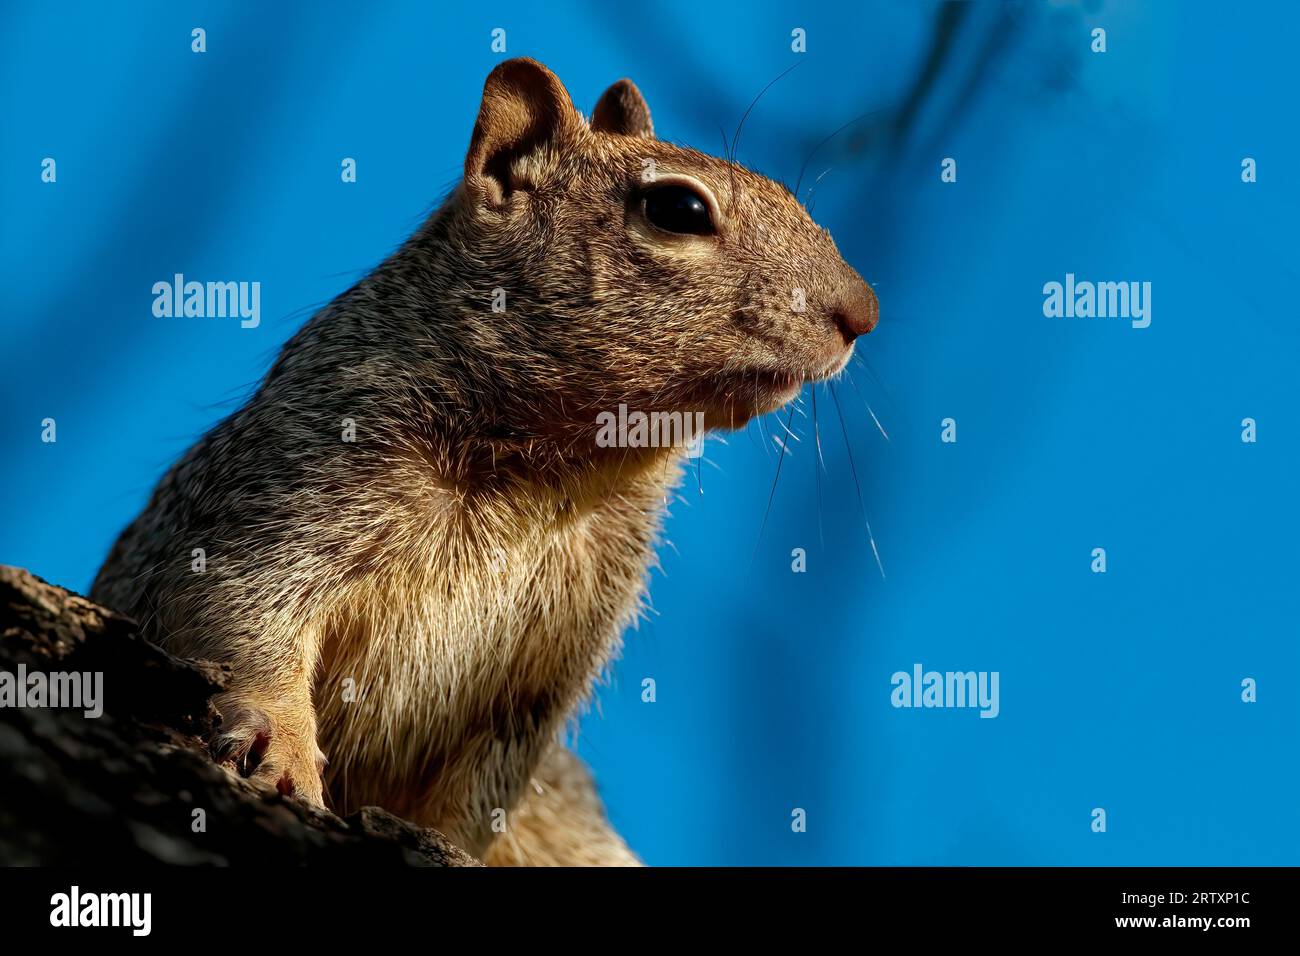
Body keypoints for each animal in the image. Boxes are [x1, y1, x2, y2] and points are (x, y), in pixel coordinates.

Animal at [91, 58, 877, 866]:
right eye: (678, 209)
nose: (865, 312)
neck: (551, 472)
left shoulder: (541, 671)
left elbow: (481, 790)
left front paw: (447, 844)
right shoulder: (297, 472)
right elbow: (242, 608)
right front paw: (278, 743)